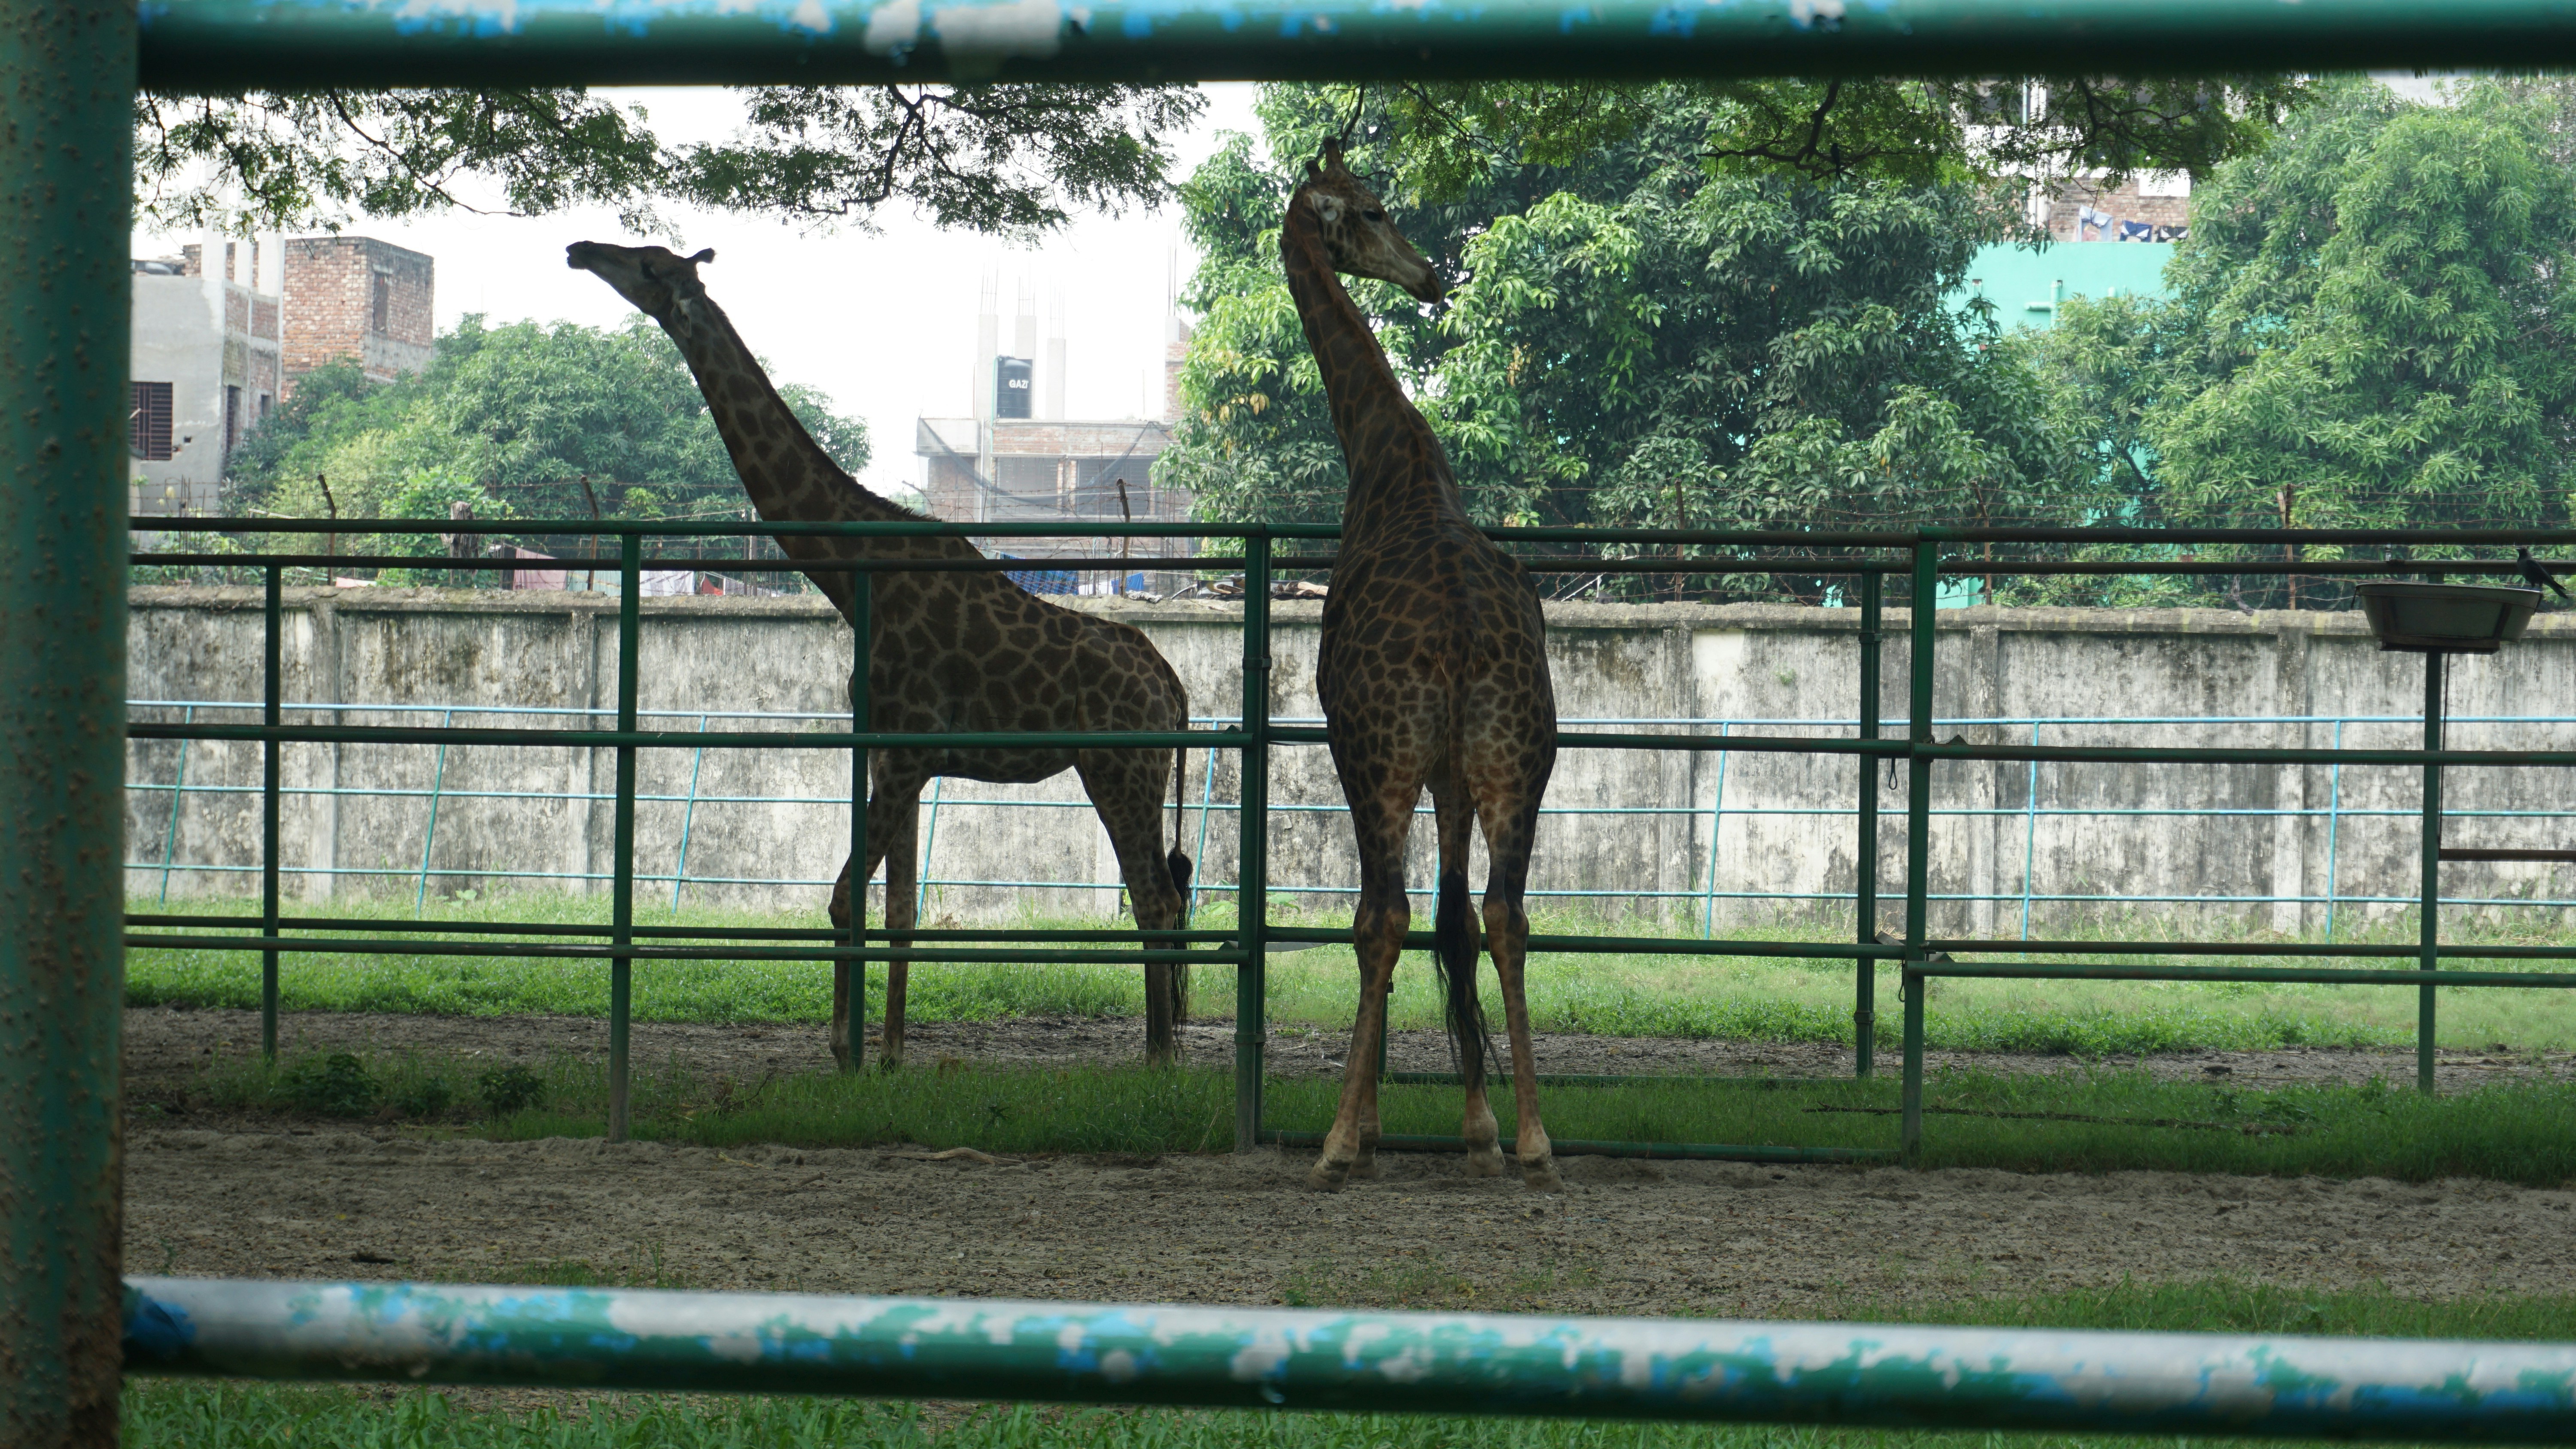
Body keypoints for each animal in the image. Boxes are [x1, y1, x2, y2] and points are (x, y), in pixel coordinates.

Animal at [566, 241, 1196, 1070]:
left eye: (645, 264)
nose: (579, 251)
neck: (848, 576)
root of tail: (1175, 689)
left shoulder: (903, 751)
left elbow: (843, 899)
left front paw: (845, 1049)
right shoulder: (900, 757)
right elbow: (898, 910)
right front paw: (892, 1055)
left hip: (1122, 769)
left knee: (1154, 898)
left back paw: (1158, 1061)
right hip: (1132, 773)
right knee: (1169, 895)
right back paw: (1163, 1049)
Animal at [1281, 144, 1562, 1192]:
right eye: (1371, 209)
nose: (1430, 275)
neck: (1388, 462)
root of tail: (1470, 633)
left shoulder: (1361, 748)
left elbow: (1393, 919)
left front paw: (1365, 1129)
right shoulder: (1455, 771)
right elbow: (1461, 924)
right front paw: (1478, 1129)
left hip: (1380, 755)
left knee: (1383, 916)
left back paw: (1330, 1145)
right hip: (1519, 758)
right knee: (1506, 914)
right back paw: (1536, 1140)